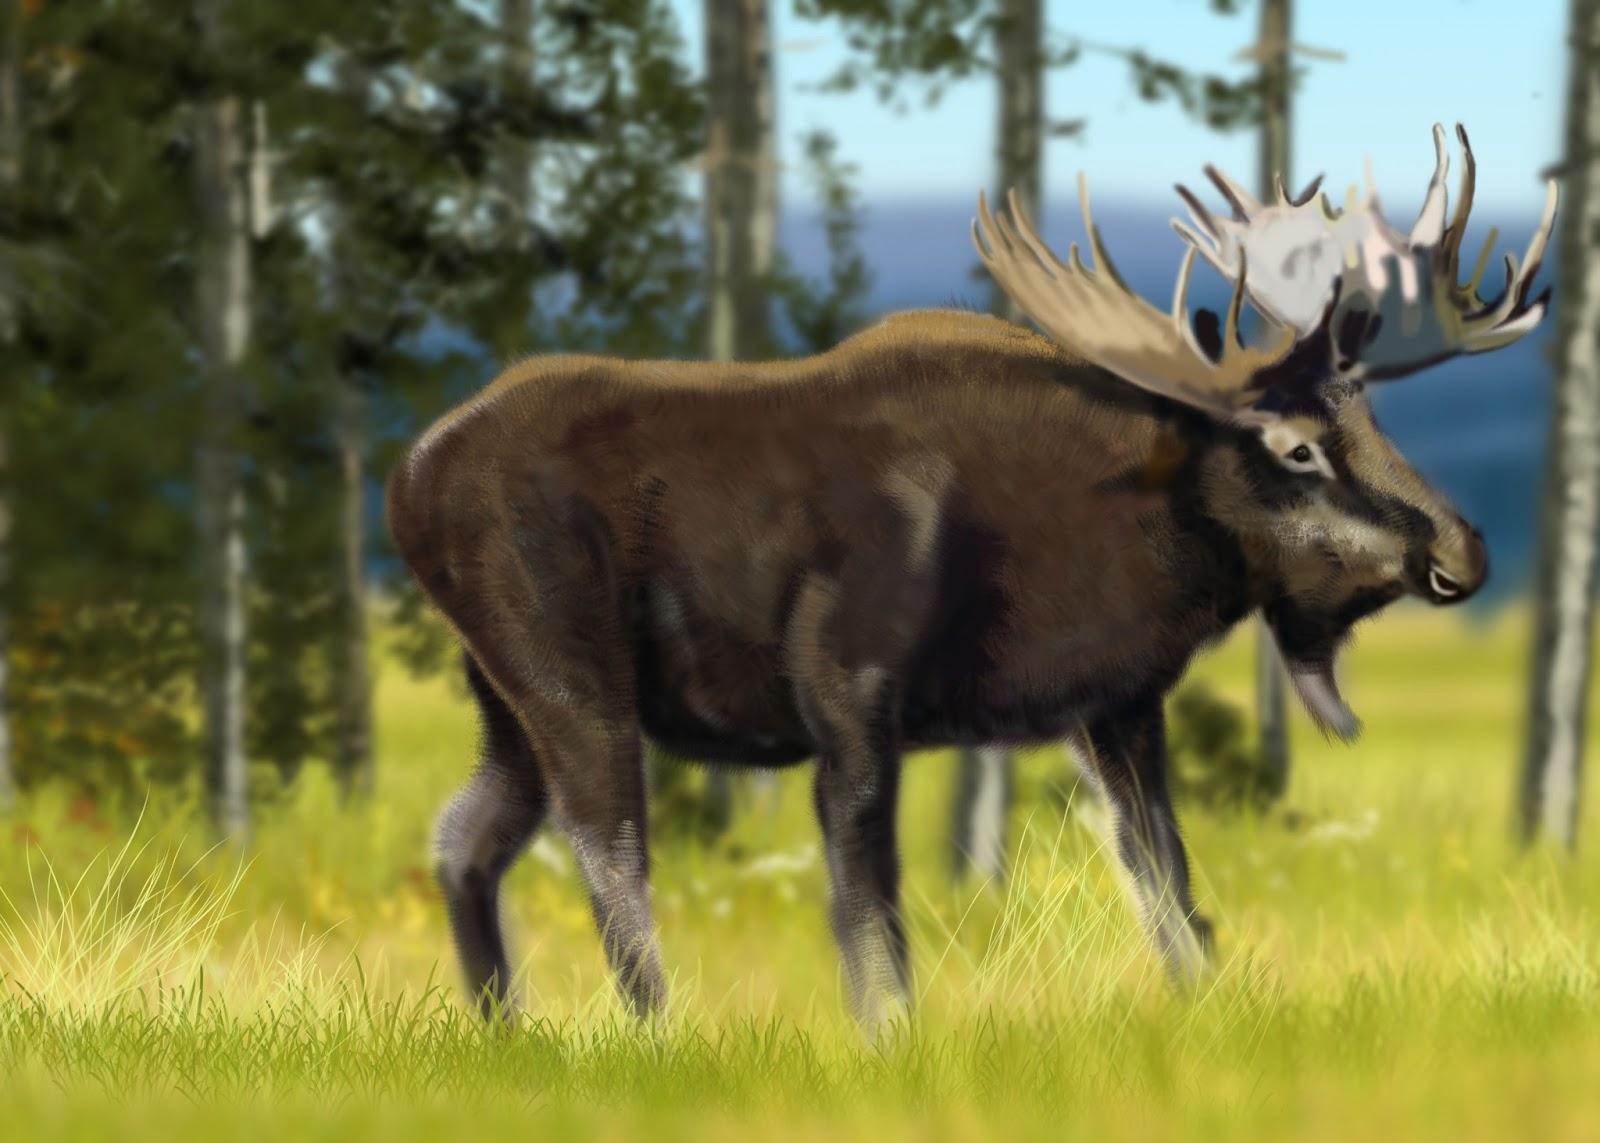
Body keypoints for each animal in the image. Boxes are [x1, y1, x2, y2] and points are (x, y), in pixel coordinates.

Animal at [385, 123, 1558, 1036]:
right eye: (1296, 446)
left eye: (1375, 417)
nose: (1464, 553)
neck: (1100, 553)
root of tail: (409, 477)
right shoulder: (848, 693)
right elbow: (867, 906)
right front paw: (889, 1042)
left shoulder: (1117, 705)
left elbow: (1164, 876)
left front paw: (1207, 1006)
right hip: (566, 667)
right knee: (607, 853)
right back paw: (658, 1037)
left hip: (499, 694)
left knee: (461, 838)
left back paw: (504, 1031)